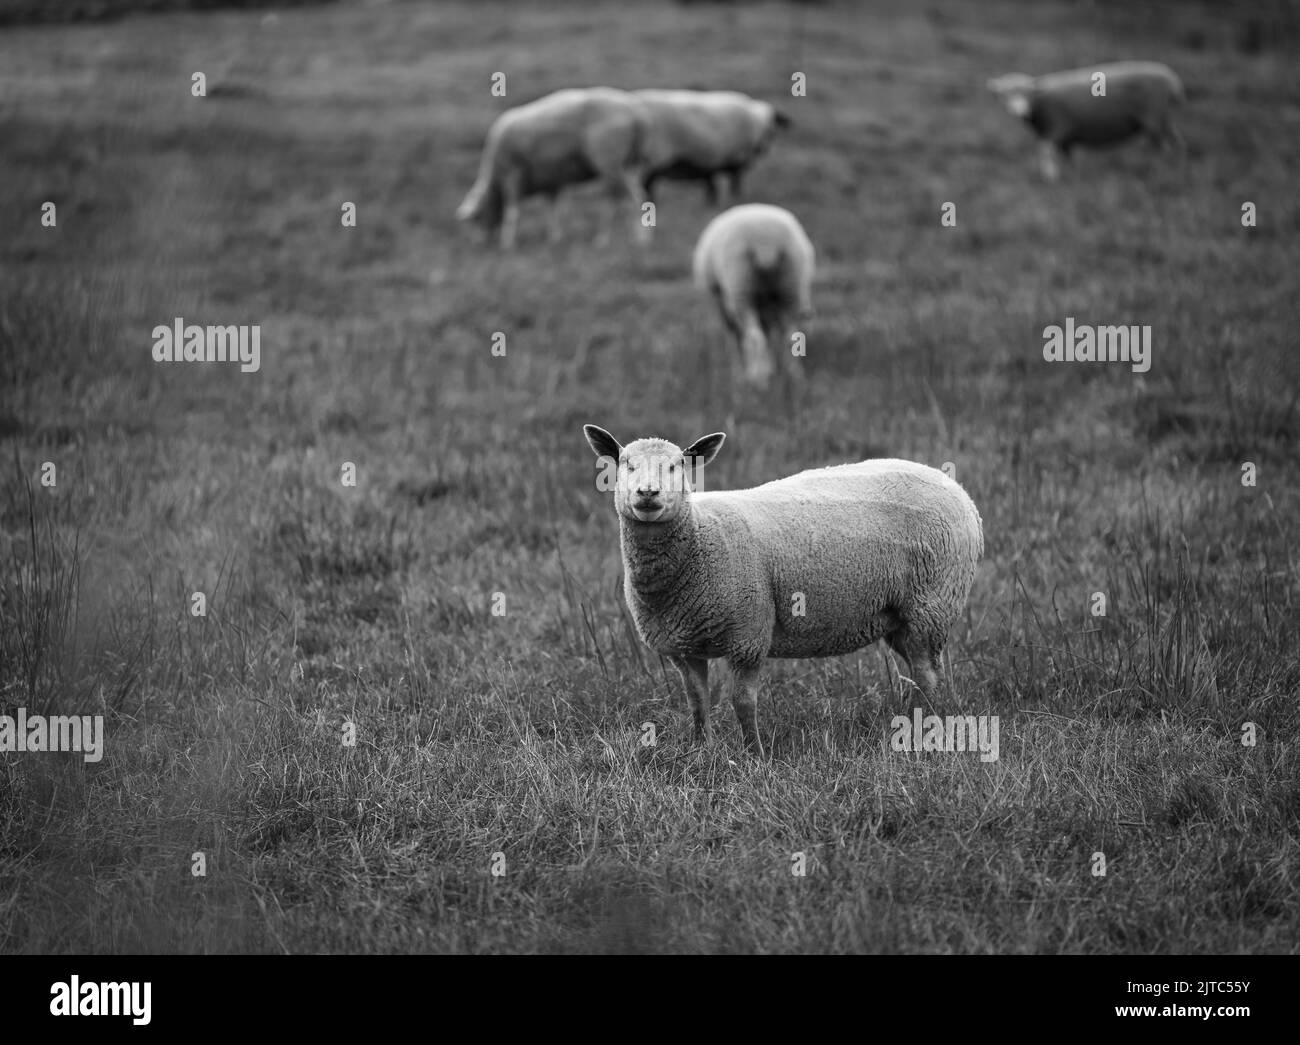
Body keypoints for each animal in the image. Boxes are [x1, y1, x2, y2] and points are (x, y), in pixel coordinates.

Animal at [455, 87, 652, 249]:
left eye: (475, 219)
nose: (478, 244)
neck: (494, 182)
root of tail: (636, 116)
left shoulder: (513, 174)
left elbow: (513, 212)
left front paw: (508, 242)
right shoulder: (552, 181)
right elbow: (553, 211)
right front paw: (554, 238)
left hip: (610, 163)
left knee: (629, 200)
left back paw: (626, 240)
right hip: (630, 165)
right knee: (627, 198)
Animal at [582, 424, 984, 756]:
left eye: (677, 466)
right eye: (626, 464)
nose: (647, 493)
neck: (699, 536)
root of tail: (957, 489)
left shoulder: (748, 635)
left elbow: (743, 702)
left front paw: (754, 755)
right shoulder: (684, 647)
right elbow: (697, 701)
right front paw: (700, 750)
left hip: (931, 604)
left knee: (929, 676)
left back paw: (926, 734)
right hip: (899, 616)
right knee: (922, 672)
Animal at [635, 89, 790, 206]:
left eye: (774, 128)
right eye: (770, 130)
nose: (763, 149)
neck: (756, 123)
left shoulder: (711, 161)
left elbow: (711, 185)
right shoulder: (735, 158)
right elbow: (734, 185)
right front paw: (735, 200)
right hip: (653, 159)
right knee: (647, 185)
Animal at [692, 203, 815, 410]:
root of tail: (766, 243)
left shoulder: (722, 304)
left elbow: (734, 339)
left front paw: (741, 373)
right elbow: (768, 333)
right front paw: (769, 368)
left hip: (741, 288)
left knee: (755, 338)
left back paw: (757, 381)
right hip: (789, 289)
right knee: (791, 338)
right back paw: (795, 380)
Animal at [987, 61, 1185, 181]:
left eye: (1026, 93)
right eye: (1004, 95)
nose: (1016, 110)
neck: (1039, 102)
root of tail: (1172, 80)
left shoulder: (1056, 128)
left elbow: (1045, 151)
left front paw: (1050, 176)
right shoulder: (1065, 136)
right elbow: (1067, 157)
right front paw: (1071, 175)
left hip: (1152, 116)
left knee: (1161, 146)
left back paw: (1160, 170)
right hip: (1162, 117)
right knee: (1174, 141)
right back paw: (1176, 165)